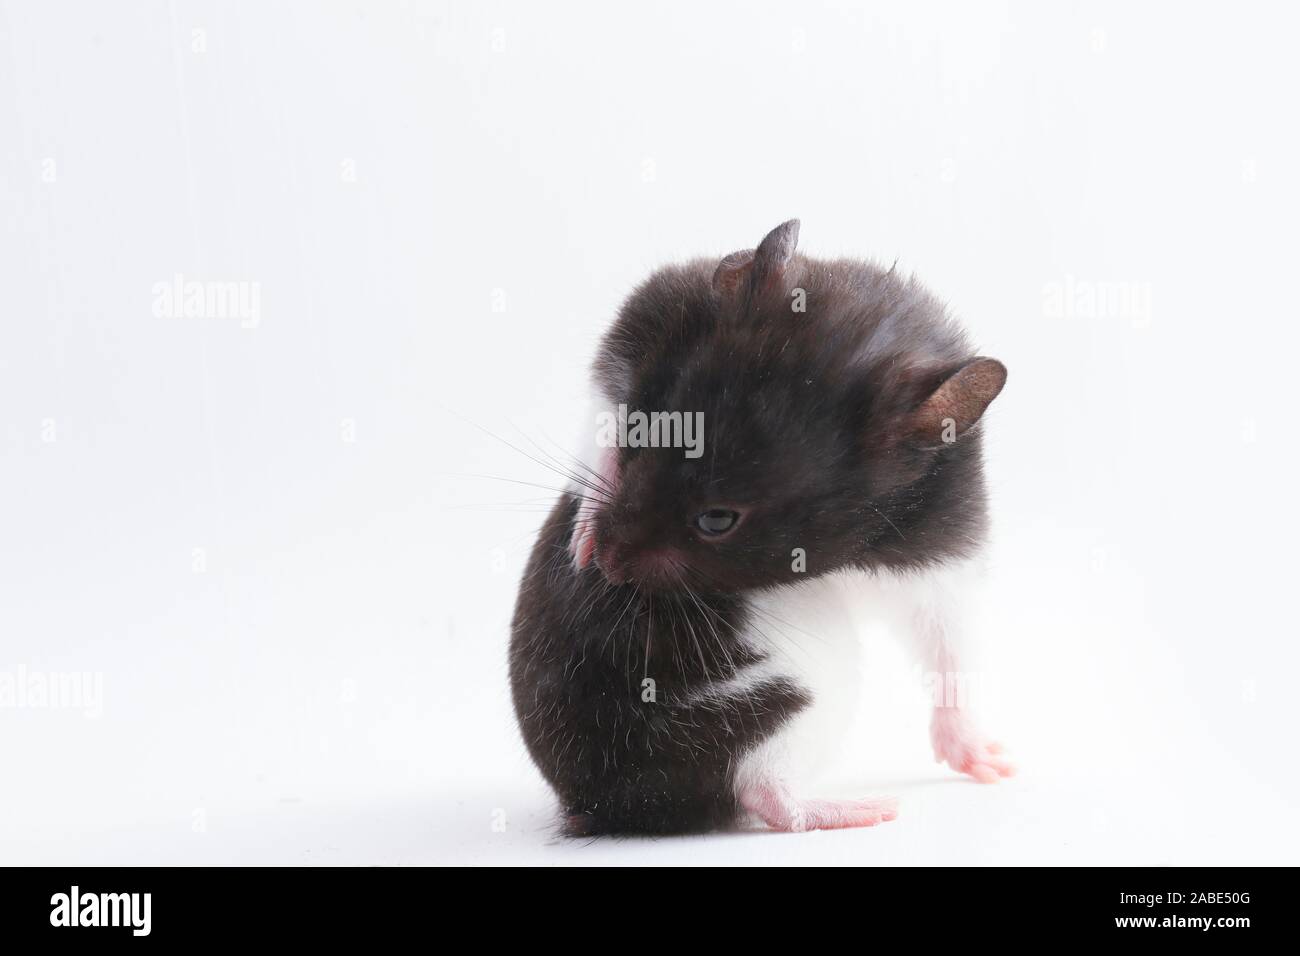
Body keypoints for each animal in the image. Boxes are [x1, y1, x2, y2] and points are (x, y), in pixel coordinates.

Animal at [509, 220, 1012, 836]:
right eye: (649, 431)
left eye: (718, 519)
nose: (604, 569)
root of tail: (603, 808)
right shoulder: (646, 315)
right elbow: (604, 410)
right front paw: (581, 538)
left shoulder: (945, 543)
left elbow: (949, 639)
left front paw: (993, 766)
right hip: (785, 698)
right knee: (766, 793)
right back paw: (867, 809)